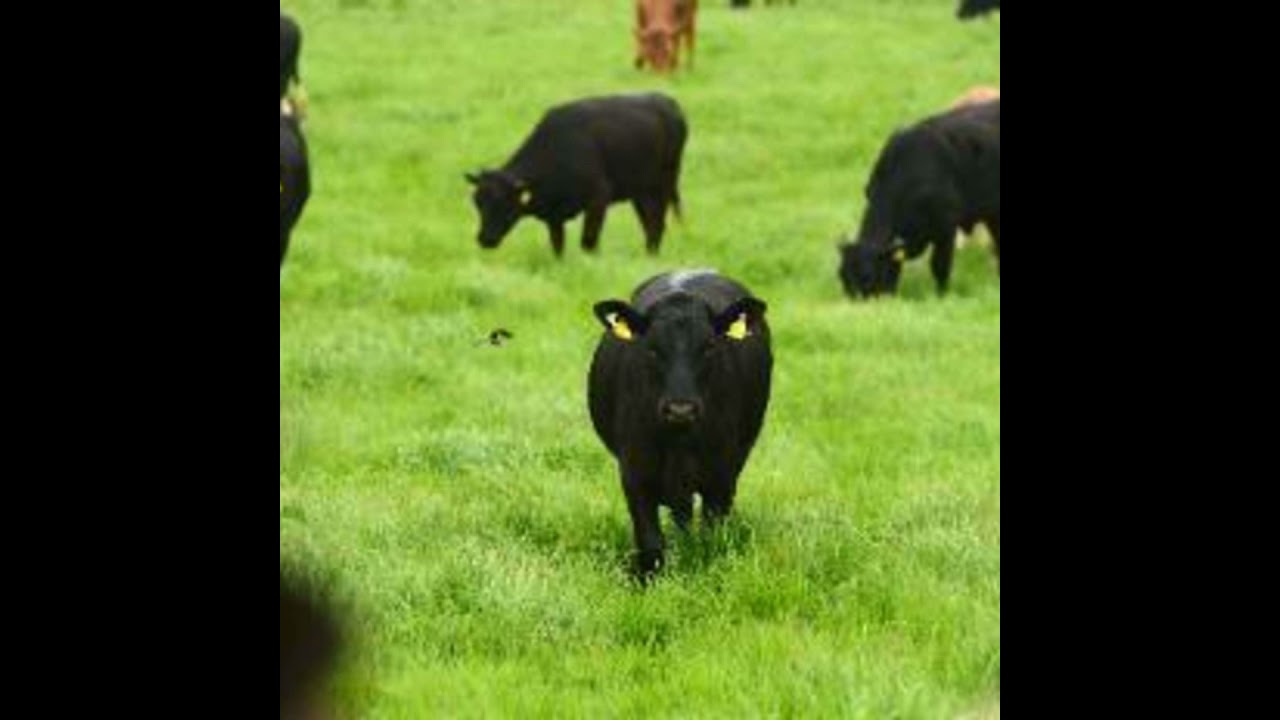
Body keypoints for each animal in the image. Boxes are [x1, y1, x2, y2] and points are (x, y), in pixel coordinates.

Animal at [466, 93, 687, 257]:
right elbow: (558, 245)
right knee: (649, 224)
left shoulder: (598, 198)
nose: (484, 239)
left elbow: (588, 241)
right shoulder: (554, 217)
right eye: (478, 202)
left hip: (665, 183)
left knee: (657, 223)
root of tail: (666, 100)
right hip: (640, 191)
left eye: (502, 202)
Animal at [588, 270, 772, 580]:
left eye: (709, 347)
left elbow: (711, 537)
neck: (678, 441)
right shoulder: (635, 474)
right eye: (651, 349)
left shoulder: (721, 477)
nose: (680, 409)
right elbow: (650, 542)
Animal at [839, 99, 999, 298]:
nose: (851, 303)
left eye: (868, 277)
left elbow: (939, 266)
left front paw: (941, 295)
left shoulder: (946, 226)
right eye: (842, 276)